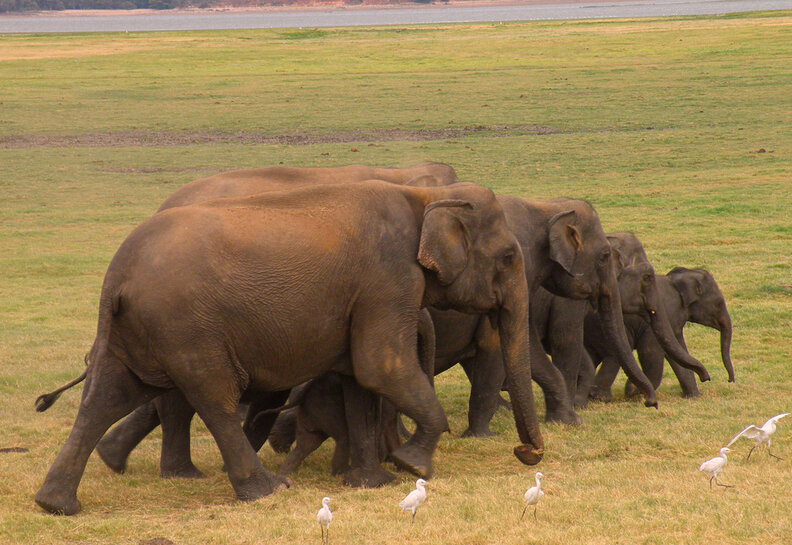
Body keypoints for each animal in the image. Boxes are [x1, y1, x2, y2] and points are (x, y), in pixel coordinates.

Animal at [34, 179, 543, 516]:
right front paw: (410, 462)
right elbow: (381, 367)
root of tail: (116, 278)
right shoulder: (387, 280)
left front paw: (371, 483)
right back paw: (268, 490)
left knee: (105, 397)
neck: (420, 198)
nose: (527, 453)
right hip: (186, 328)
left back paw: (57, 504)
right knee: (214, 398)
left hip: (139, 330)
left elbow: (358, 380)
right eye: (507, 258)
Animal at [585, 266, 734, 399]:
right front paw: (632, 390)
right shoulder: (661, 317)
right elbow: (651, 351)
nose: (729, 380)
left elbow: (677, 351)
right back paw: (600, 397)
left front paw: (693, 396)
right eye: (719, 304)